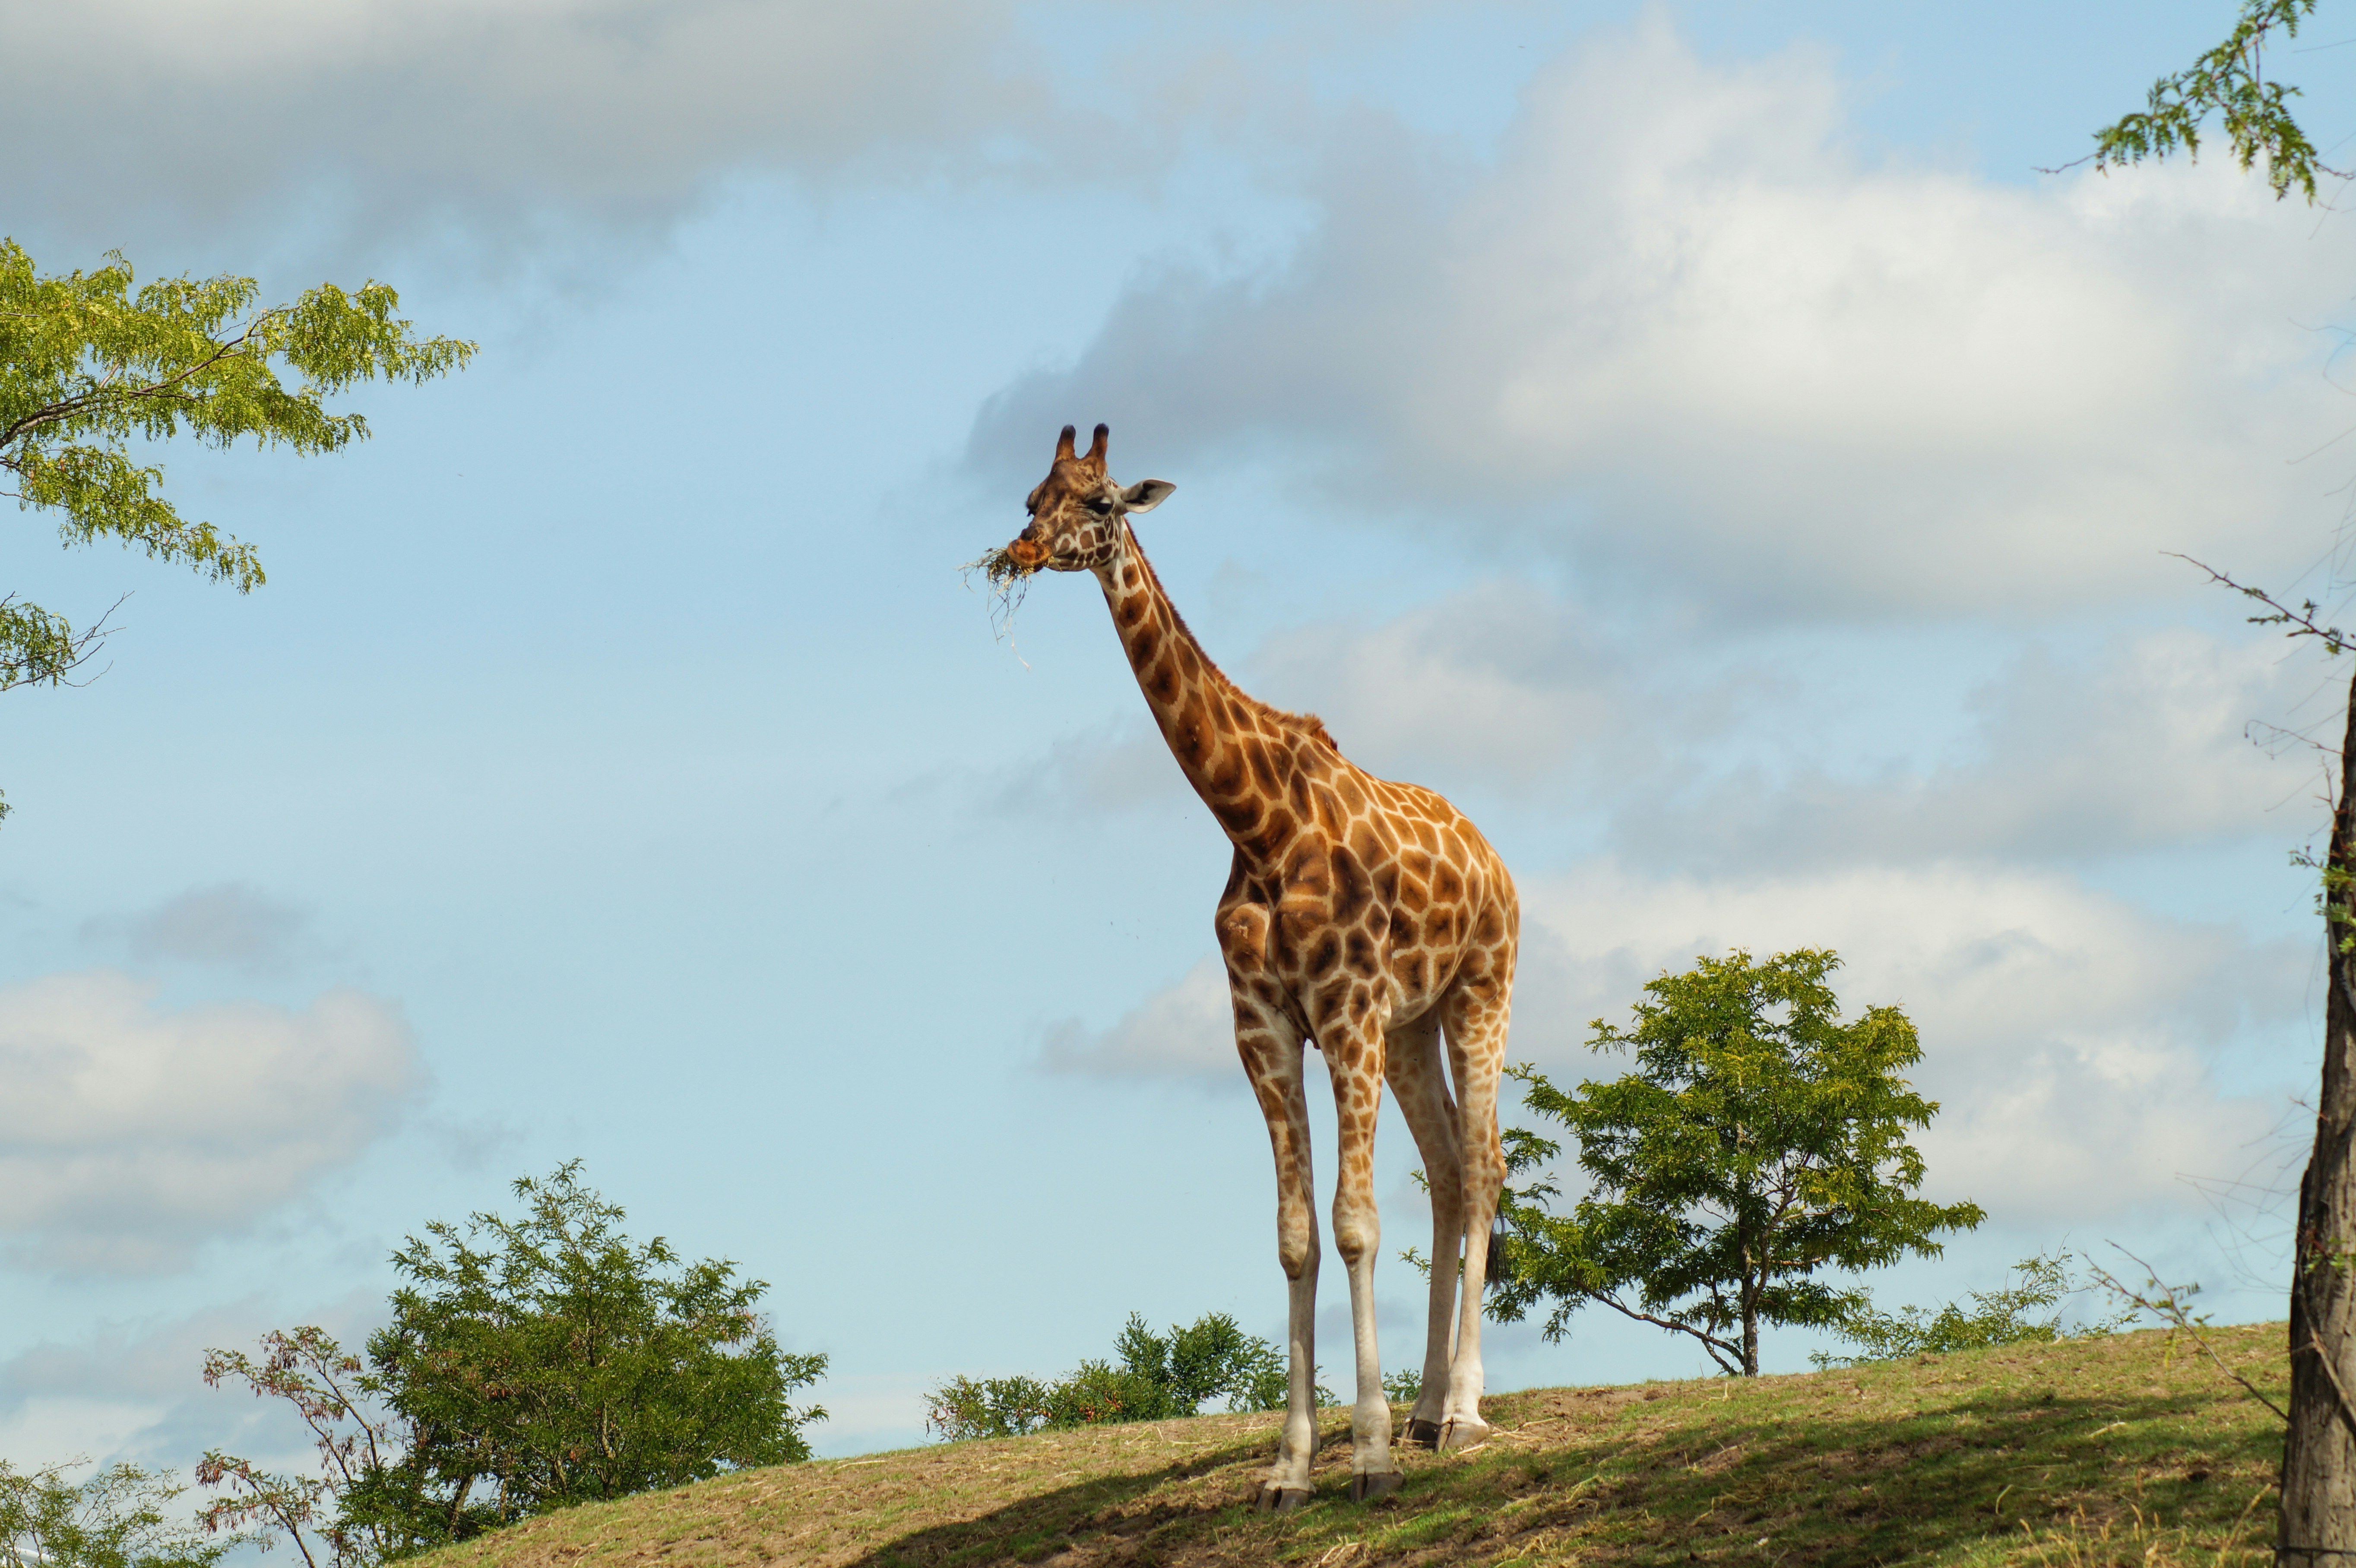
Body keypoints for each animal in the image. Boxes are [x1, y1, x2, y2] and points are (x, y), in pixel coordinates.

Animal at [1000, 424, 1518, 1509]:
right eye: (1030, 496)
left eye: (1101, 501)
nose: (1021, 552)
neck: (1256, 822)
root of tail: (1492, 853)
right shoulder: (1266, 1024)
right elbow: (1295, 1235)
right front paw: (1290, 1465)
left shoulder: (1347, 1009)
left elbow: (1355, 1221)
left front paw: (1365, 1458)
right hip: (1413, 1024)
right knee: (1451, 1171)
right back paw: (1425, 1407)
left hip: (1479, 989)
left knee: (1487, 1161)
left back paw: (1460, 1413)